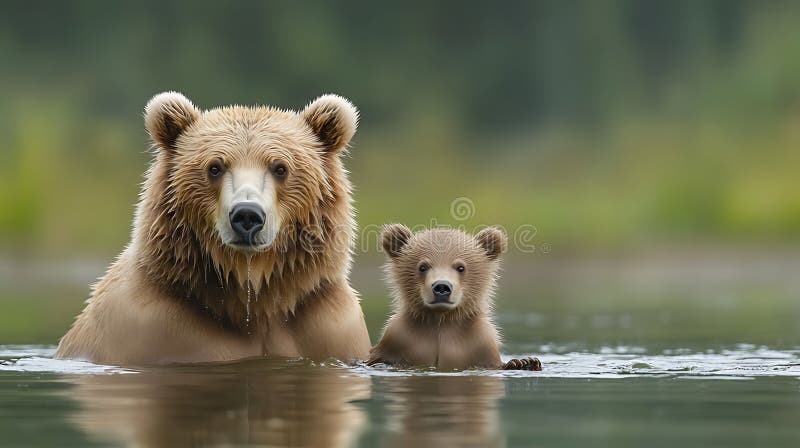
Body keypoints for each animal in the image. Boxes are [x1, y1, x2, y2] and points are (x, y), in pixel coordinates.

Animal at [55, 92, 372, 366]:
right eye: (215, 167)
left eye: (280, 167)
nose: (247, 215)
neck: (254, 301)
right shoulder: (149, 326)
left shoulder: (329, 328)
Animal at [368, 224, 542, 371]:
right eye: (423, 266)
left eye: (460, 267)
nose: (441, 287)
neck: (441, 320)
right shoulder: (398, 339)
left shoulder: (479, 344)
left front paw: (525, 362)